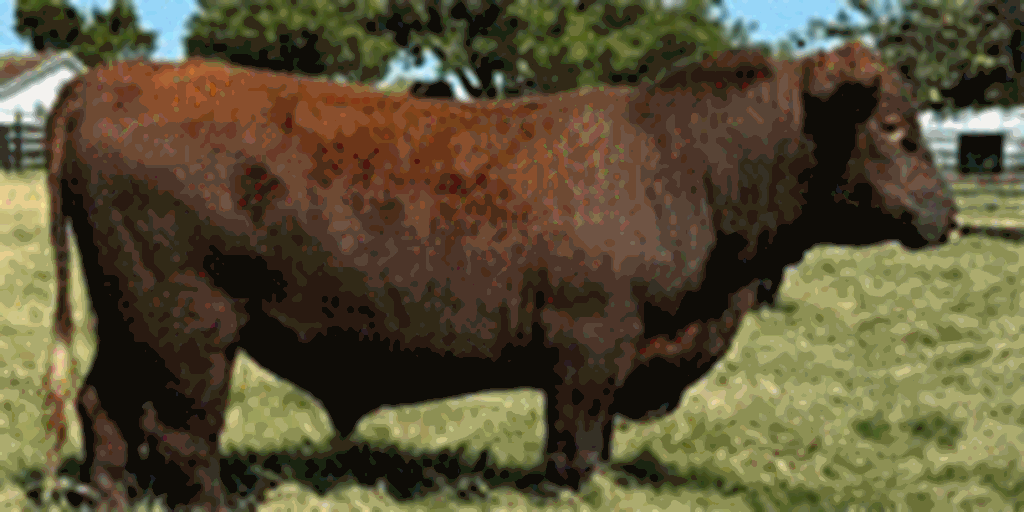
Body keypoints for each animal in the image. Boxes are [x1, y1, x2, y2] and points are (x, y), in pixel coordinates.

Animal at [42, 42, 958, 509]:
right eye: (892, 127)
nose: (945, 214)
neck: (683, 165)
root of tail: (112, 78)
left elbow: (597, 446)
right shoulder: (589, 347)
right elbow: (574, 449)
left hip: (128, 317)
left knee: (103, 410)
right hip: (187, 326)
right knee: (182, 435)